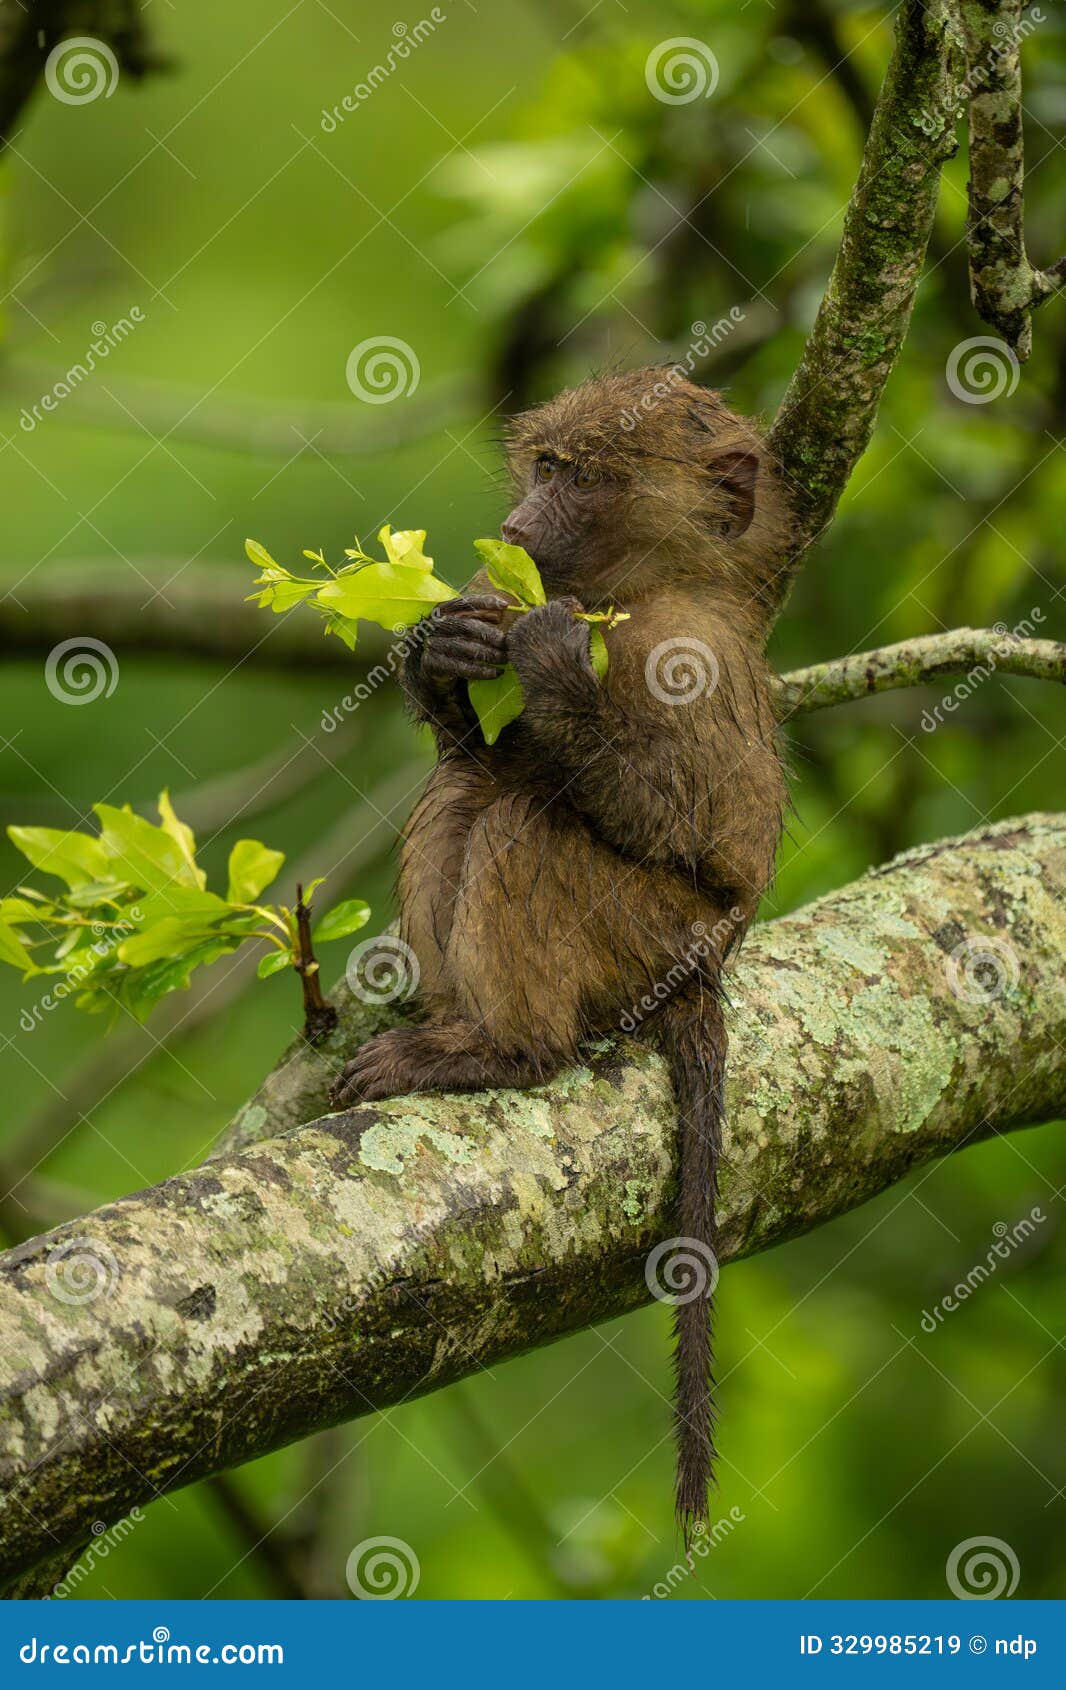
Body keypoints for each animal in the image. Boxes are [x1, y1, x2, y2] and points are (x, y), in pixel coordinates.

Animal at [331, 368, 789, 1543]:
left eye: (584, 479)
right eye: (544, 467)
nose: (515, 529)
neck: (636, 589)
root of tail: (708, 975)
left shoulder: (684, 654)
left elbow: (666, 814)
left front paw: (543, 657)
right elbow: (479, 747)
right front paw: (442, 663)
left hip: (650, 939)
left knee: (525, 820)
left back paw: (508, 1049)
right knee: (471, 789)